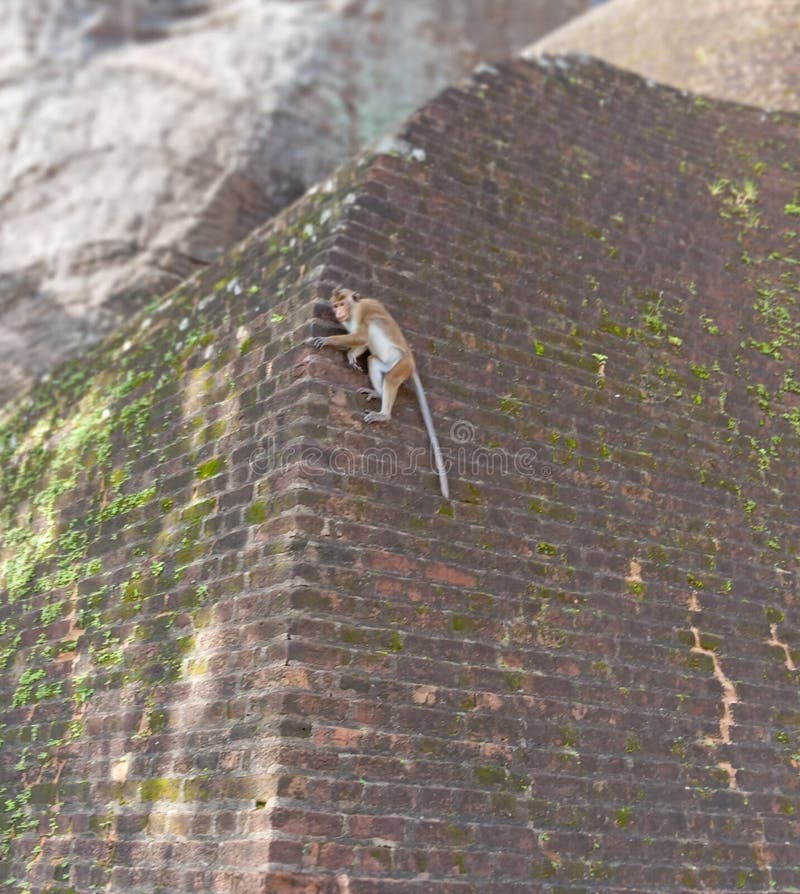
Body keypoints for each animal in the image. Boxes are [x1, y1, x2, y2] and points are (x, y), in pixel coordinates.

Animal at [307, 286, 450, 500]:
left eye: (342, 304)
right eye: (335, 305)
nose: (338, 312)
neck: (354, 308)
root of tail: (412, 364)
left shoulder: (362, 312)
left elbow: (361, 336)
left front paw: (327, 340)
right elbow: (363, 343)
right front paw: (351, 355)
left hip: (401, 366)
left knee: (390, 379)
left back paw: (383, 414)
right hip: (388, 362)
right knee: (373, 360)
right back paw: (378, 393)